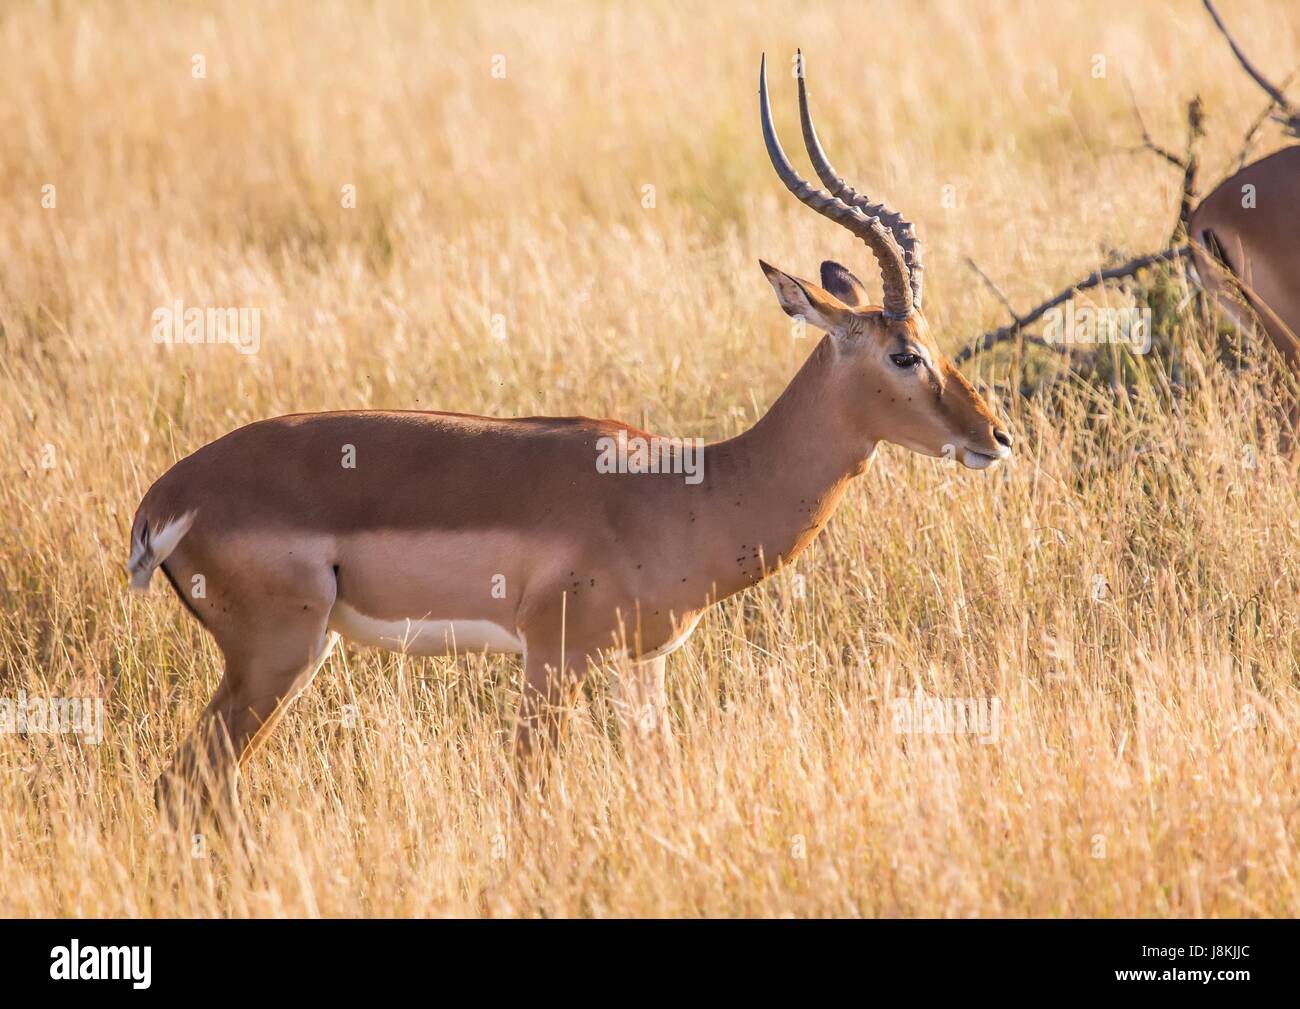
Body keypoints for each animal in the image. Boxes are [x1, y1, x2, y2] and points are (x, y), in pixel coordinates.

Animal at [128, 54, 1011, 812]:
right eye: (904, 353)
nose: (996, 435)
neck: (692, 488)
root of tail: (167, 498)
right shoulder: (553, 662)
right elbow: (528, 796)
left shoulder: (642, 668)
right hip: (277, 656)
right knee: (183, 784)